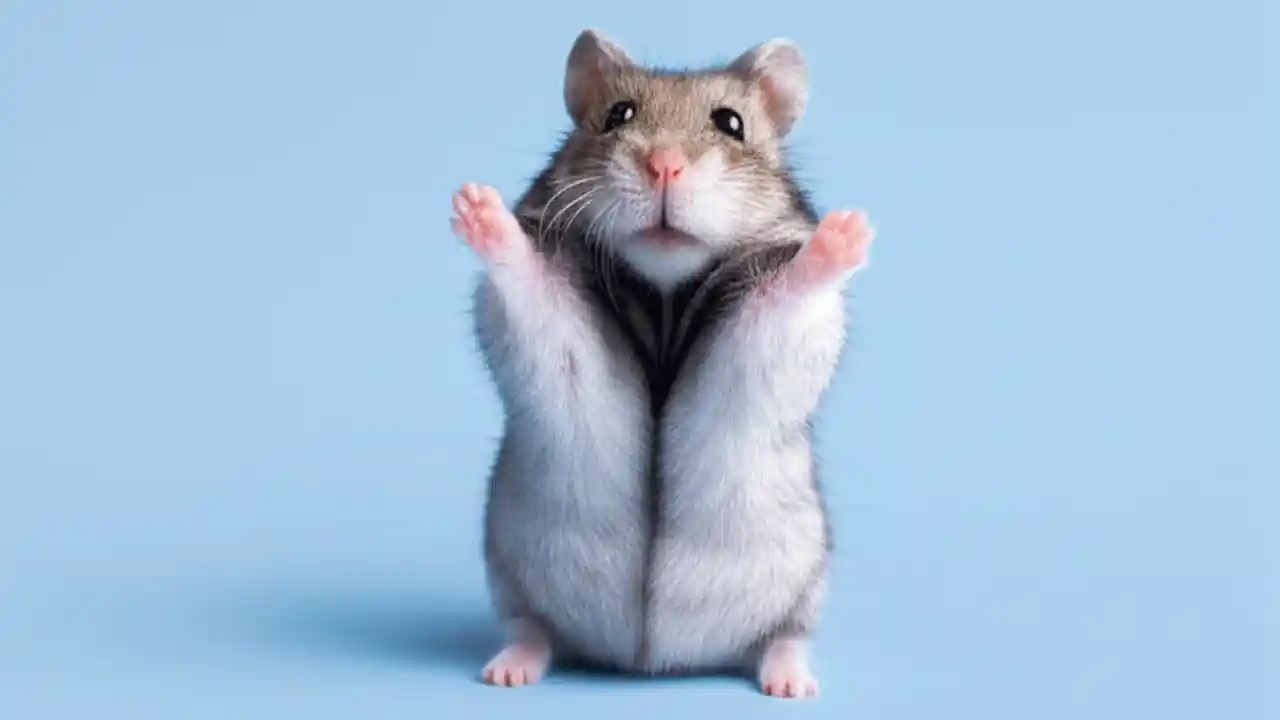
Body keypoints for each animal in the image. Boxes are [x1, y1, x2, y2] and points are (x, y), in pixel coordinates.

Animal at [449, 28, 874, 699]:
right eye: (617, 115)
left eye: (731, 123)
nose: (665, 165)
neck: (667, 293)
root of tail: (649, 661)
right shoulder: (561, 319)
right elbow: (531, 282)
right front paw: (475, 206)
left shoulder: (759, 332)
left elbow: (785, 295)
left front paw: (847, 232)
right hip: (509, 577)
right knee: (532, 631)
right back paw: (507, 672)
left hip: (805, 587)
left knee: (780, 639)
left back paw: (791, 684)